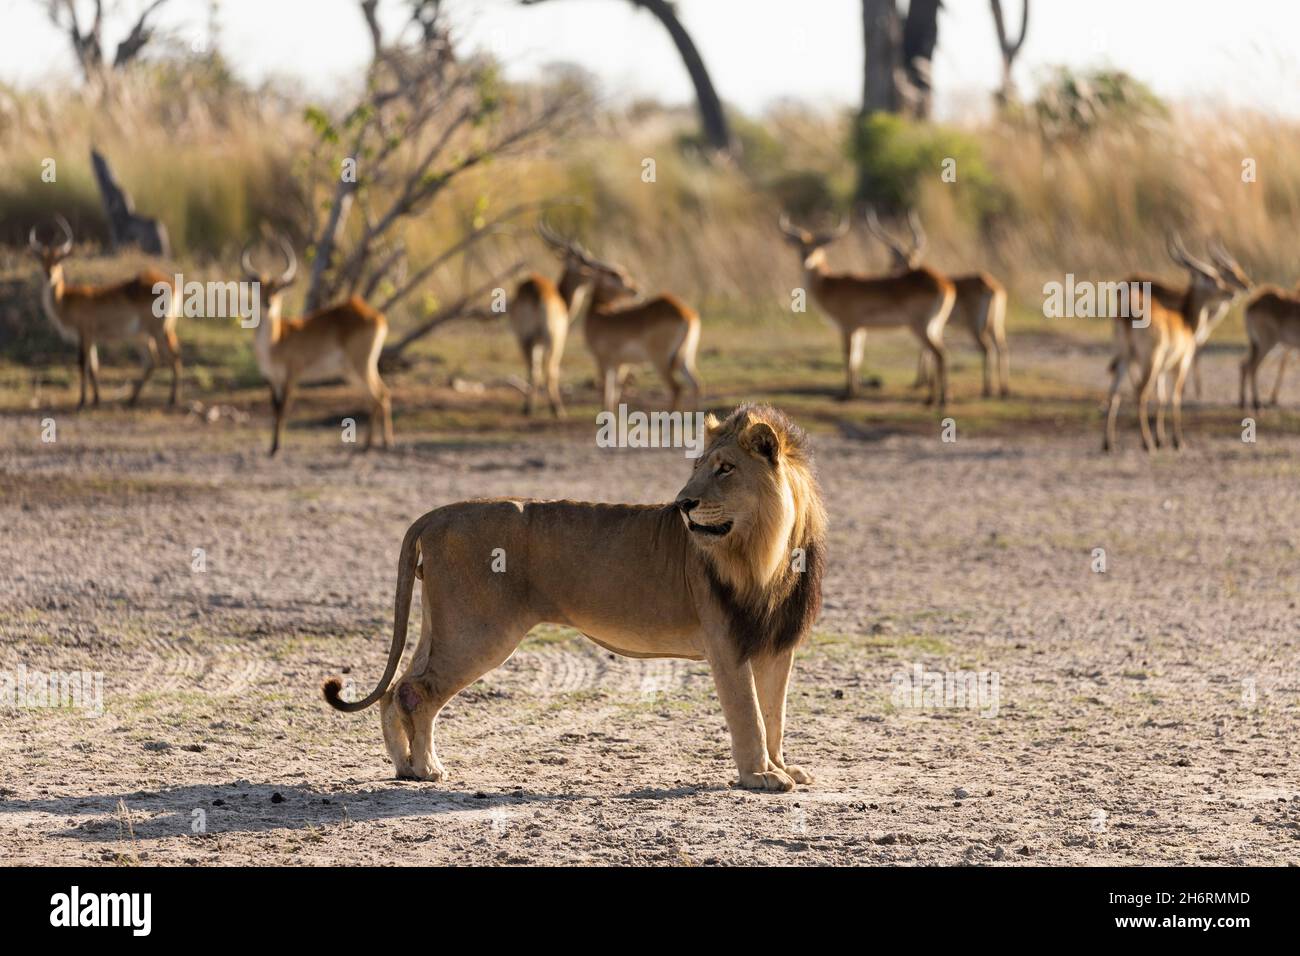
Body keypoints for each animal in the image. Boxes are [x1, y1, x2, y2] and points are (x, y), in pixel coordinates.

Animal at [323, 403, 828, 792]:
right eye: (697, 467)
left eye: (725, 468)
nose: (683, 504)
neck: (768, 548)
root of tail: (437, 513)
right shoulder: (727, 643)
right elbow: (749, 716)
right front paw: (760, 776)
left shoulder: (776, 645)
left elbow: (775, 714)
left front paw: (782, 767)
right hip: (478, 632)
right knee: (416, 691)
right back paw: (427, 769)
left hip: (444, 625)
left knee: (395, 689)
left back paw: (405, 767)